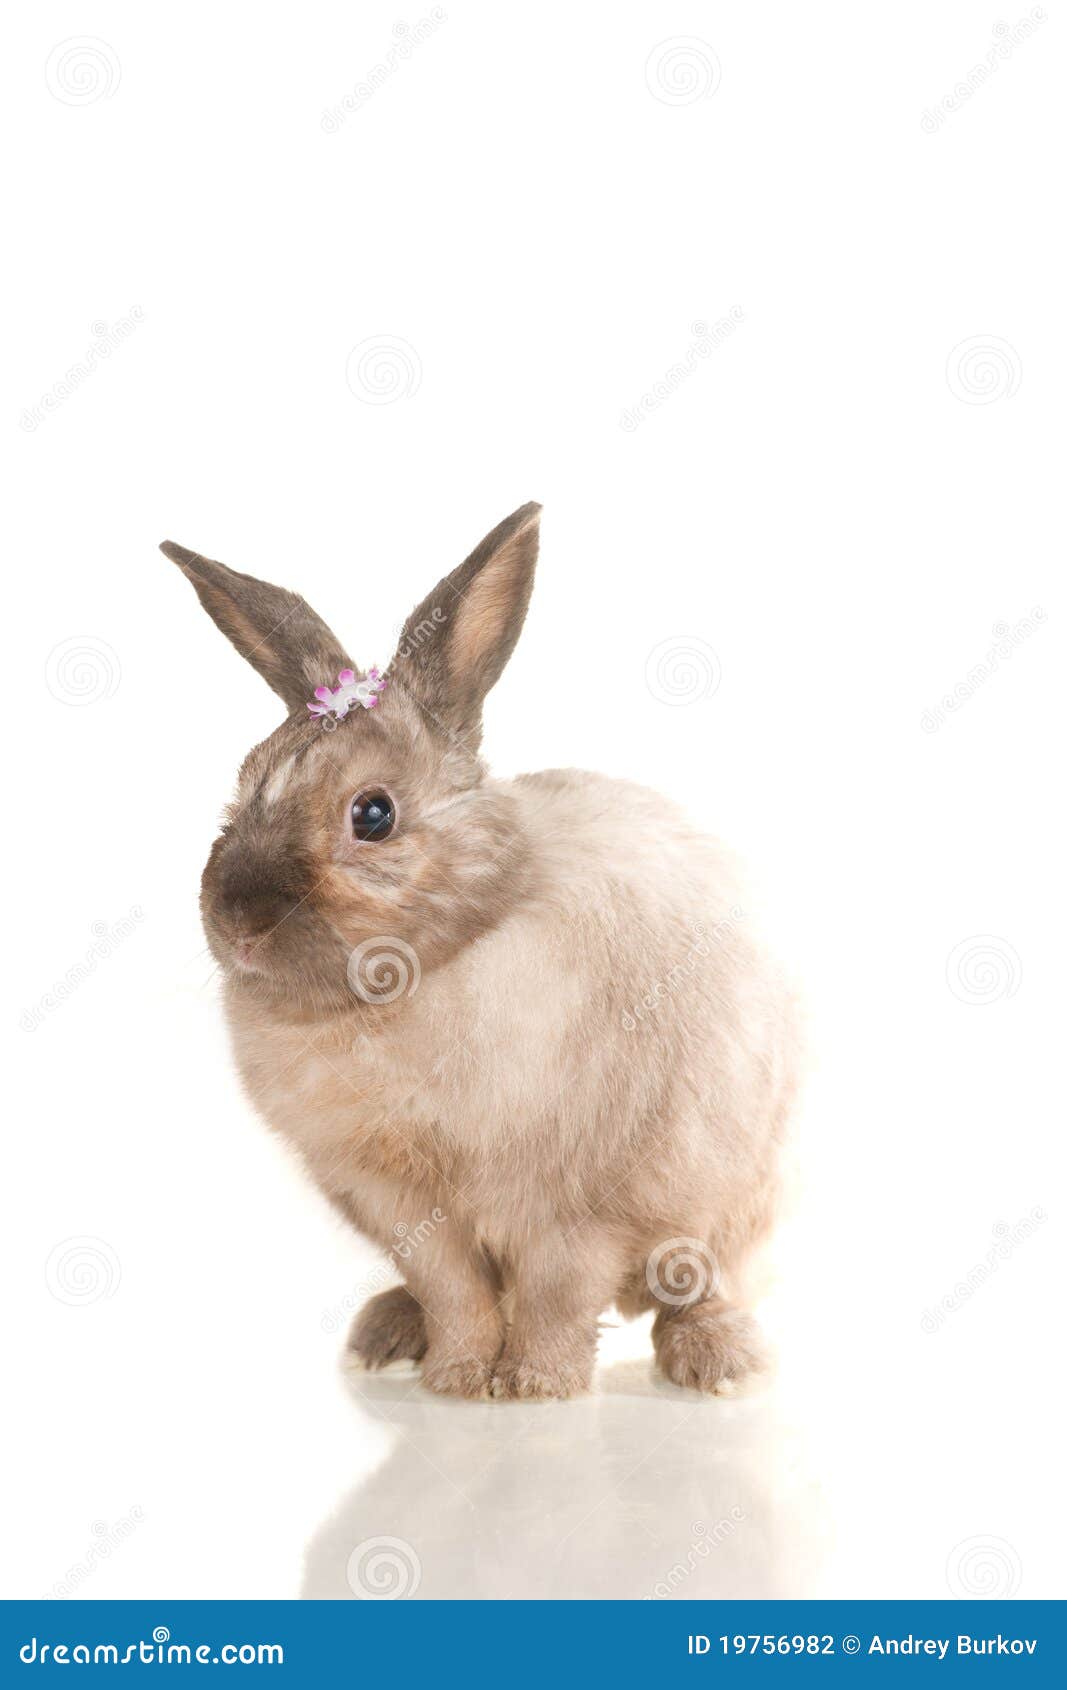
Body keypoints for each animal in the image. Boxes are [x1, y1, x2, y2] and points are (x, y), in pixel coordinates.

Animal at [161, 502, 801, 1400]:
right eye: (244, 785)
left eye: (372, 814)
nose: (240, 919)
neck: (432, 967)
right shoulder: (399, 1205)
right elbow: (453, 1290)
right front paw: (460, 1378)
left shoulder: (576, 1207)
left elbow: (556, 1296)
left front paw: (534, 1386)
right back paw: (385, 1336)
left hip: (731, 1198)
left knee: (695, 1284)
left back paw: (721, 1364)